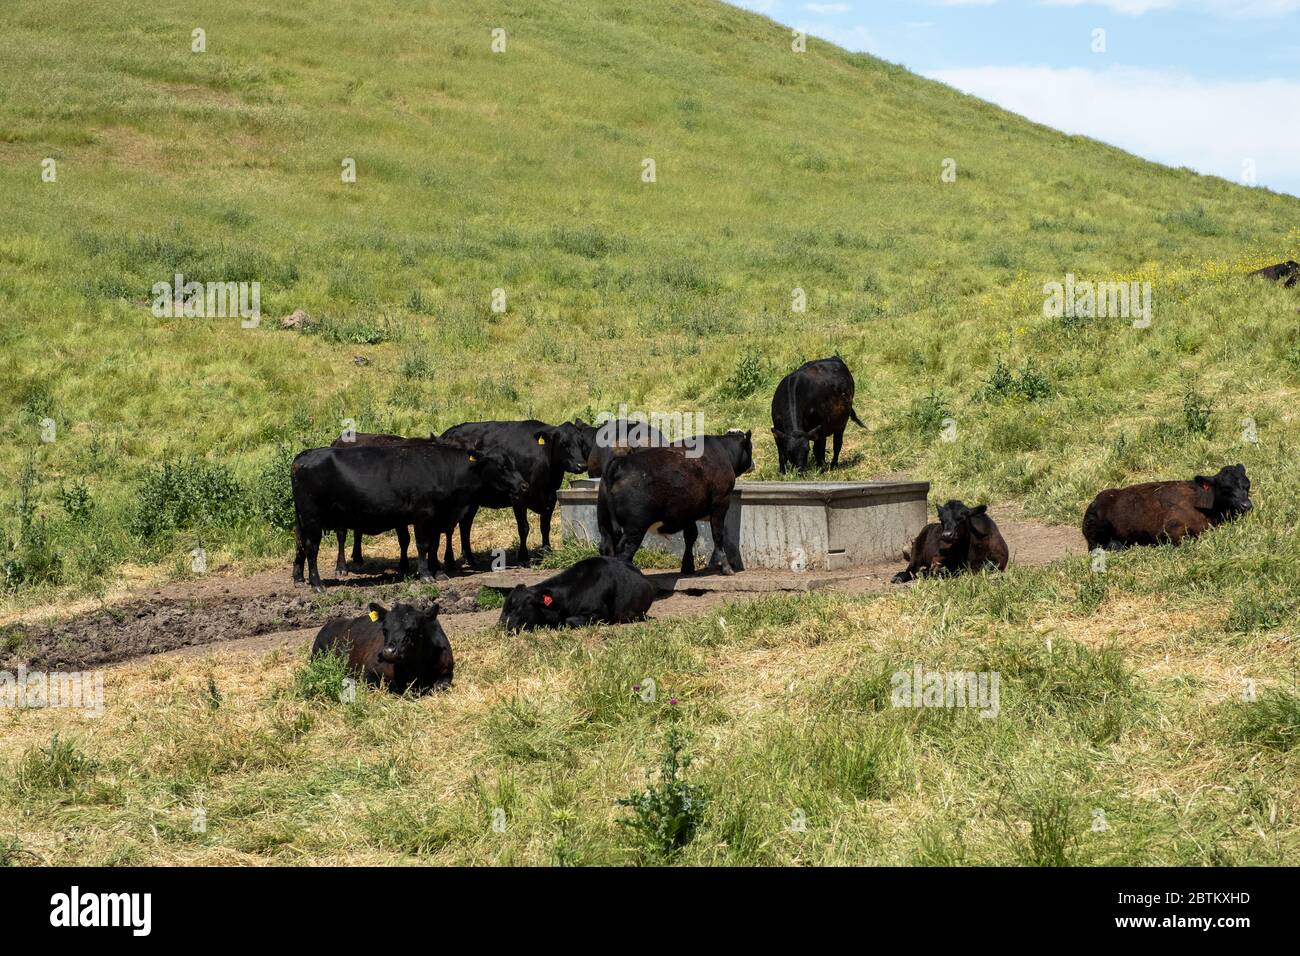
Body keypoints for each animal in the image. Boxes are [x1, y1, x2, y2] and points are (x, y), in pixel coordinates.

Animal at [291, 442, 527, 590]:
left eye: (513, 463)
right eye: (502, 466)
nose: (524, 485)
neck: (444, 470)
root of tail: (305, 455)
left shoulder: (437, 518)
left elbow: (434, 545)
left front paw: (438, 571)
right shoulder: (423, 515)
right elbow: (423, 546)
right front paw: (425, 574)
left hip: (304, 520)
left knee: (300, 544)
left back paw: (299, 578)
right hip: (312, 518)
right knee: (311, 548)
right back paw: (317, 583)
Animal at [311, 601, 453, 693]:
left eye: (412, 630)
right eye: (384, 630)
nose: (388, 652)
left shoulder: (447, 670)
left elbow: (440, 687)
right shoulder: (368, 672)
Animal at [438, 419, 588, 568]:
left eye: (581, 442)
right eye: (564, 443)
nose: (581, 465)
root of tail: (447, 433)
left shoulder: (551, 497)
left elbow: (545, 526)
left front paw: (546, 552)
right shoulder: (518, 496)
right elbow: (523, 527)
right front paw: (523, 558)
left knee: (465, 525)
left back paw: (470, 559)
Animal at [597, 430, 752, 575]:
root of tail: (619, 462)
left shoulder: (688, 512)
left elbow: (690, 536)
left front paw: (688, 567)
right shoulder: (720, 502)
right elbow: (718, 534)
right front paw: (726, 567)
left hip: (605, 524)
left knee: (606, 547)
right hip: (634, 529)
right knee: (624, 552)